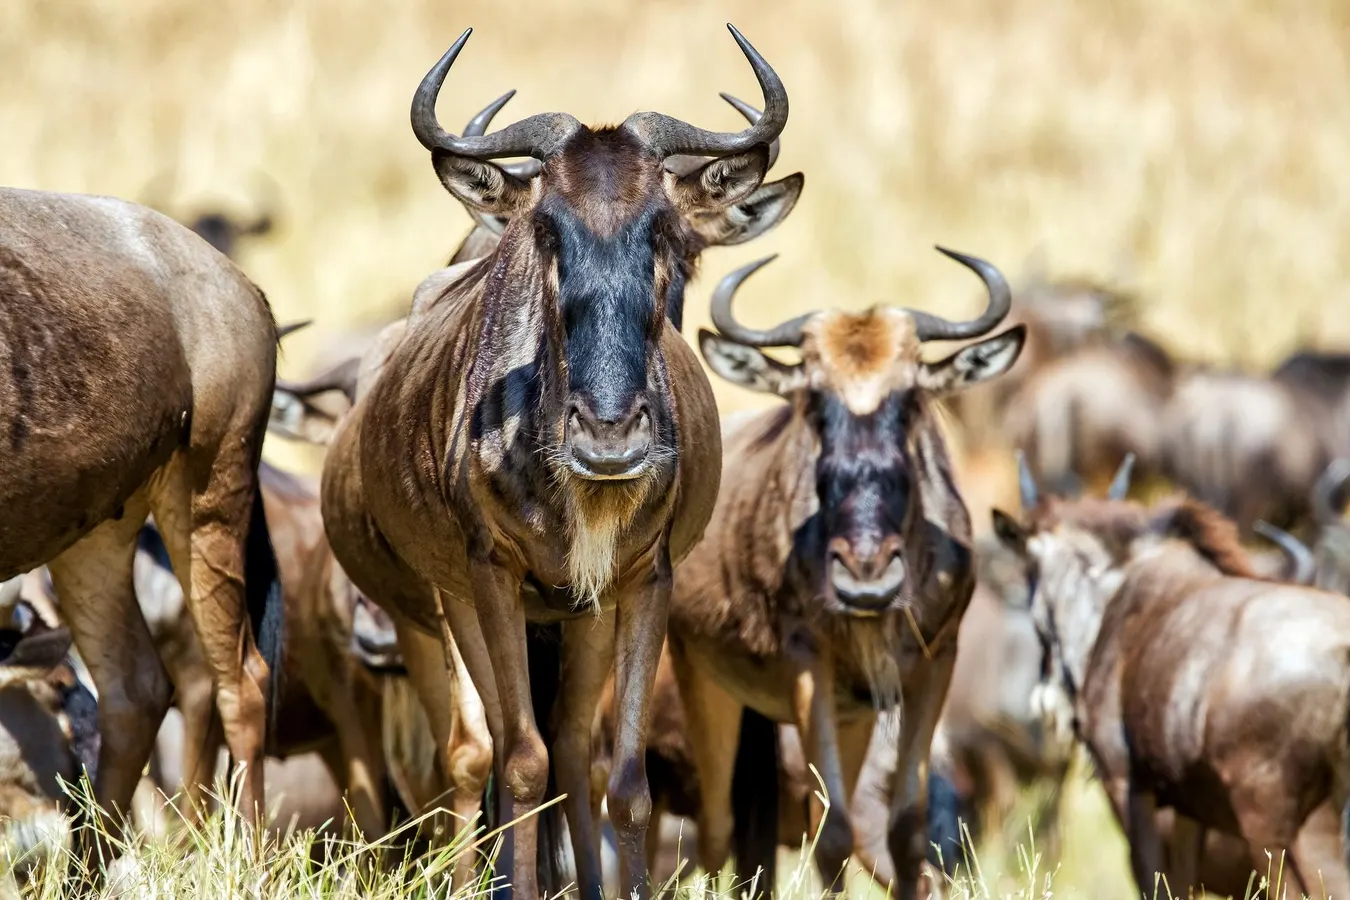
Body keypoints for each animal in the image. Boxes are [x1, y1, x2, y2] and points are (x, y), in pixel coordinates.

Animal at [667, 252, 1025, 897]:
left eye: (911, 398)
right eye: (813, 399)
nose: (866, 582)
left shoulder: (933, 667)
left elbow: (903, 829)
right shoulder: (809, 666)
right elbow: (831, 834)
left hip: (854, 714)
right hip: (707, 682)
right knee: (716, 829)